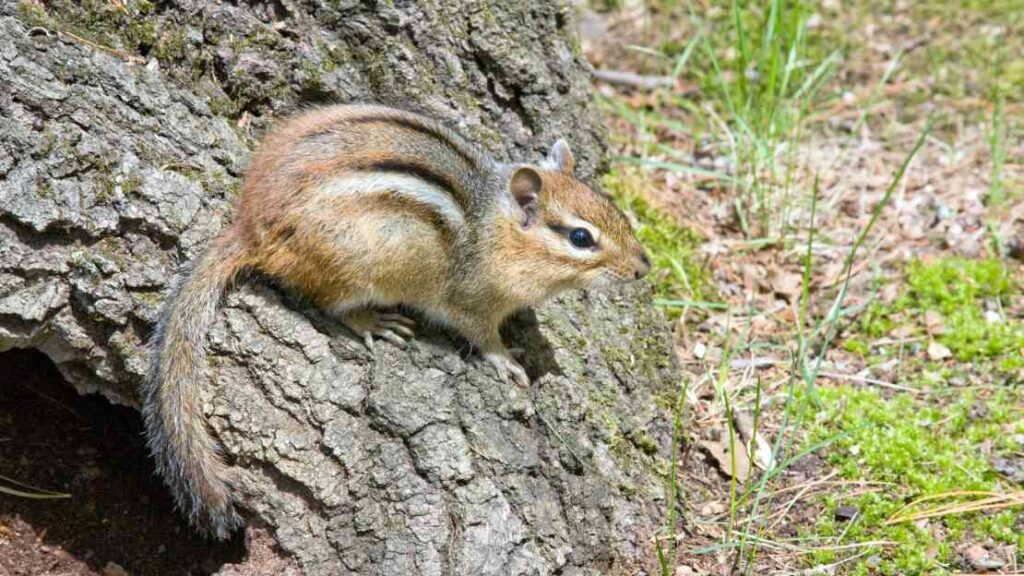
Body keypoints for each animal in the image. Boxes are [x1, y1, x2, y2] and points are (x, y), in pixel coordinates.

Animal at [142, 104, 652, 539]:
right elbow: (482, 335)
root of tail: (250, 226)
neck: (497, 231)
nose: (644, 267)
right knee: (330, 303)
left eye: (614, 209)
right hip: (364, 263)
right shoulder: (471, 301)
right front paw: (506, 358)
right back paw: (373, 321)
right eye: (581, 237)